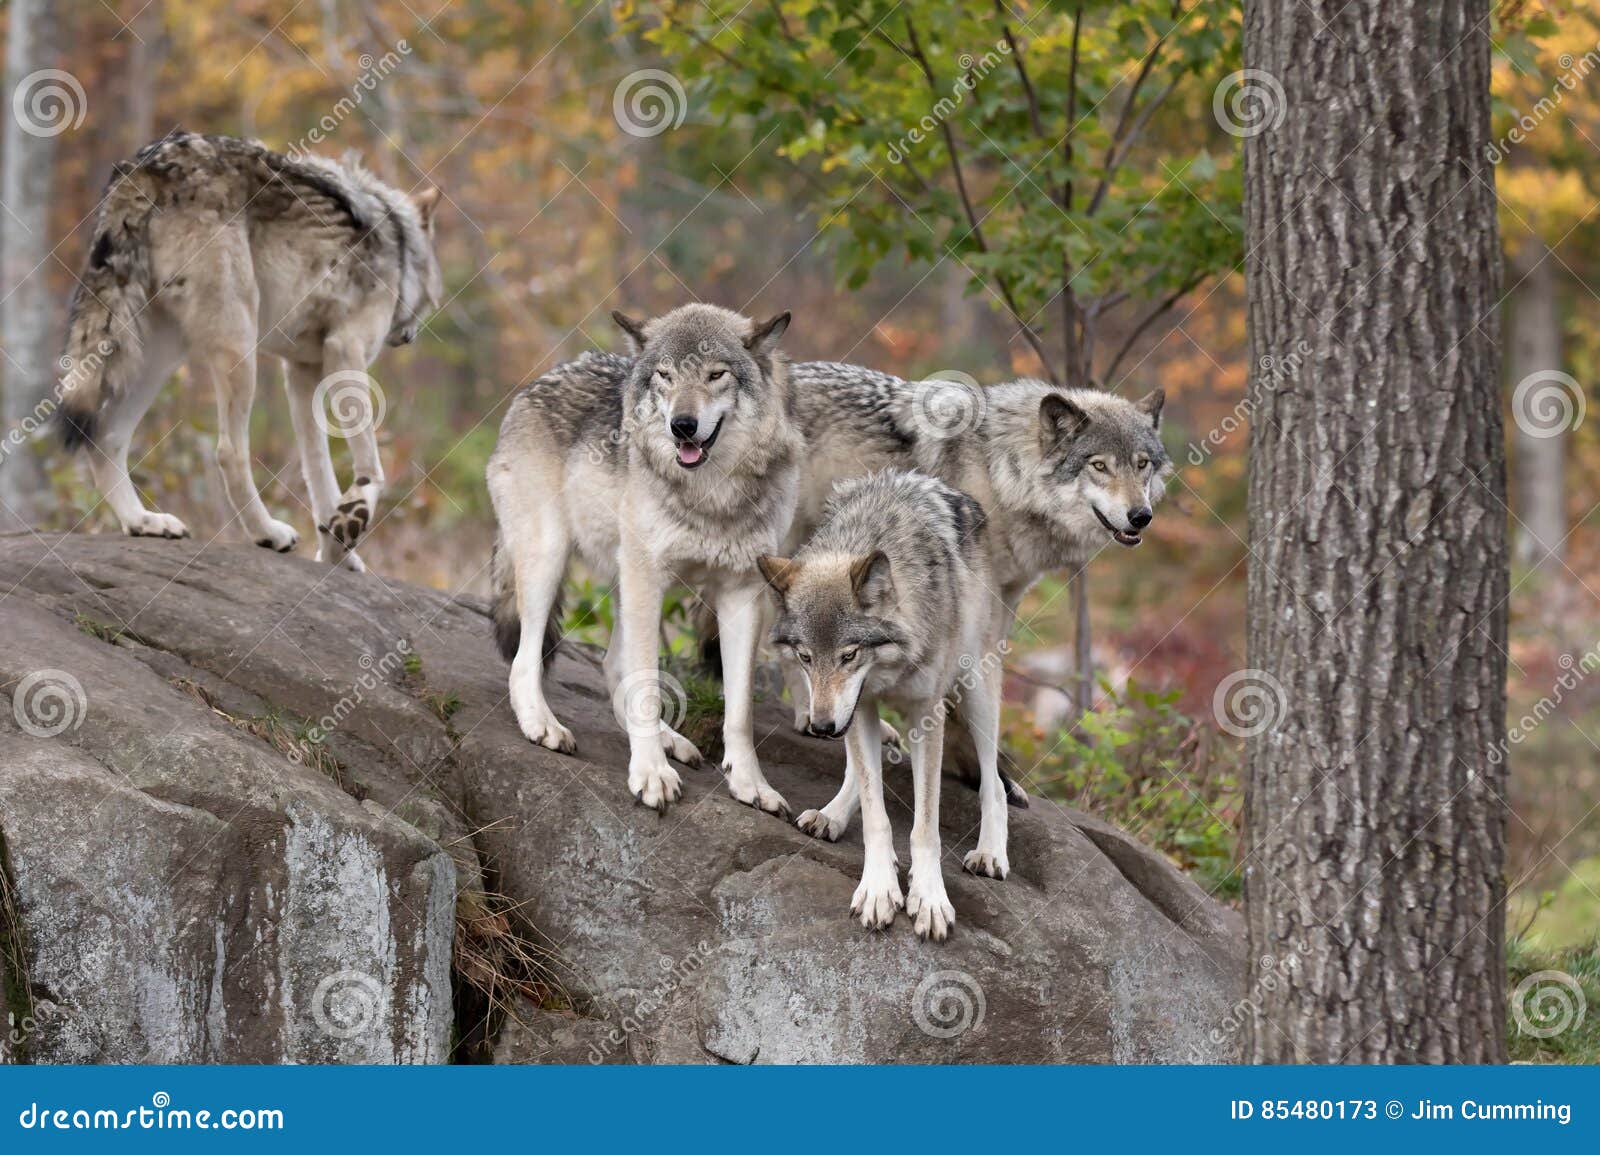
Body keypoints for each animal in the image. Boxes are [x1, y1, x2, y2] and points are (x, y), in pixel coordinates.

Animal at [57, 130, 443, 571]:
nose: (410, 337)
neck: (401, 245)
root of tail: (148, 163)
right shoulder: (345, 352)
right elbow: (371, 468)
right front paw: (352, 521)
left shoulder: (303, 372)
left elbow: (319, 473)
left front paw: (338, 553)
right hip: (238, 346)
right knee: (229, 452)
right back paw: (267, 533)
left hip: (158, 356)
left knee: (106, 436)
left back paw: (144, 521)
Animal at [488, 303, 798, 815]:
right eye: (665, 376)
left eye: (716, 374)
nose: (683, 426)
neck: (710, 495)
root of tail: (535, 384)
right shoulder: (648, 580)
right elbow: (649, 686)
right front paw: (651, 774)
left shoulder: (742, 594)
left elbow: (740, 712)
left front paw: (751, 784)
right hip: (552, 557)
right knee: (525, 658)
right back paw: (542, 725)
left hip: (620, 576)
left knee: (613, 667)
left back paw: (671, 740)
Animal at [759, 470, 1009, 941]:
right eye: (805, 657)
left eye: (848, 655)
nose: (820, 728)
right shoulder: (859, 709)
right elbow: (876, 813)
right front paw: (878, 888)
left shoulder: (926, 714)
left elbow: (925, 827)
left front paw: (928, 897)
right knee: (860, 776)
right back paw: (832, 814)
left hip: (977, 688)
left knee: (994, 782)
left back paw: (990, 852)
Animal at [780, 366, 1170, 842]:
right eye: (1099, 465)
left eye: (1142, 464)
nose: (1140, 516)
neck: (1000, 474)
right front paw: (838, 809)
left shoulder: (997, 610)